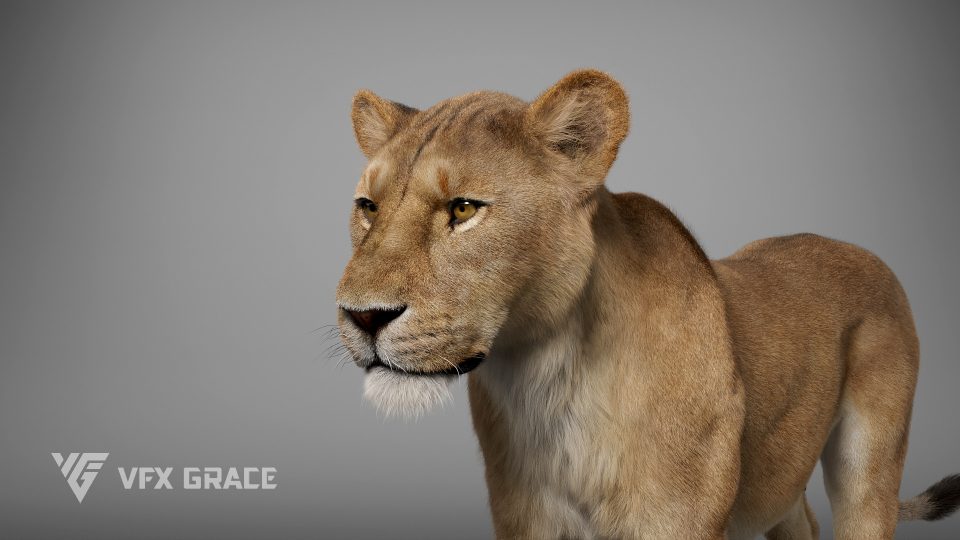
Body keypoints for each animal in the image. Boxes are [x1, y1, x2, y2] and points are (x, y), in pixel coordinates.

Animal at [334, 69, 960, 539]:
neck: (548, 381)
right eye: (368, 206)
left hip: (868, 470)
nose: (363, 316)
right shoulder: (524, 520)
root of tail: (863, 251)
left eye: (463, 209)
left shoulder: (677, 521)